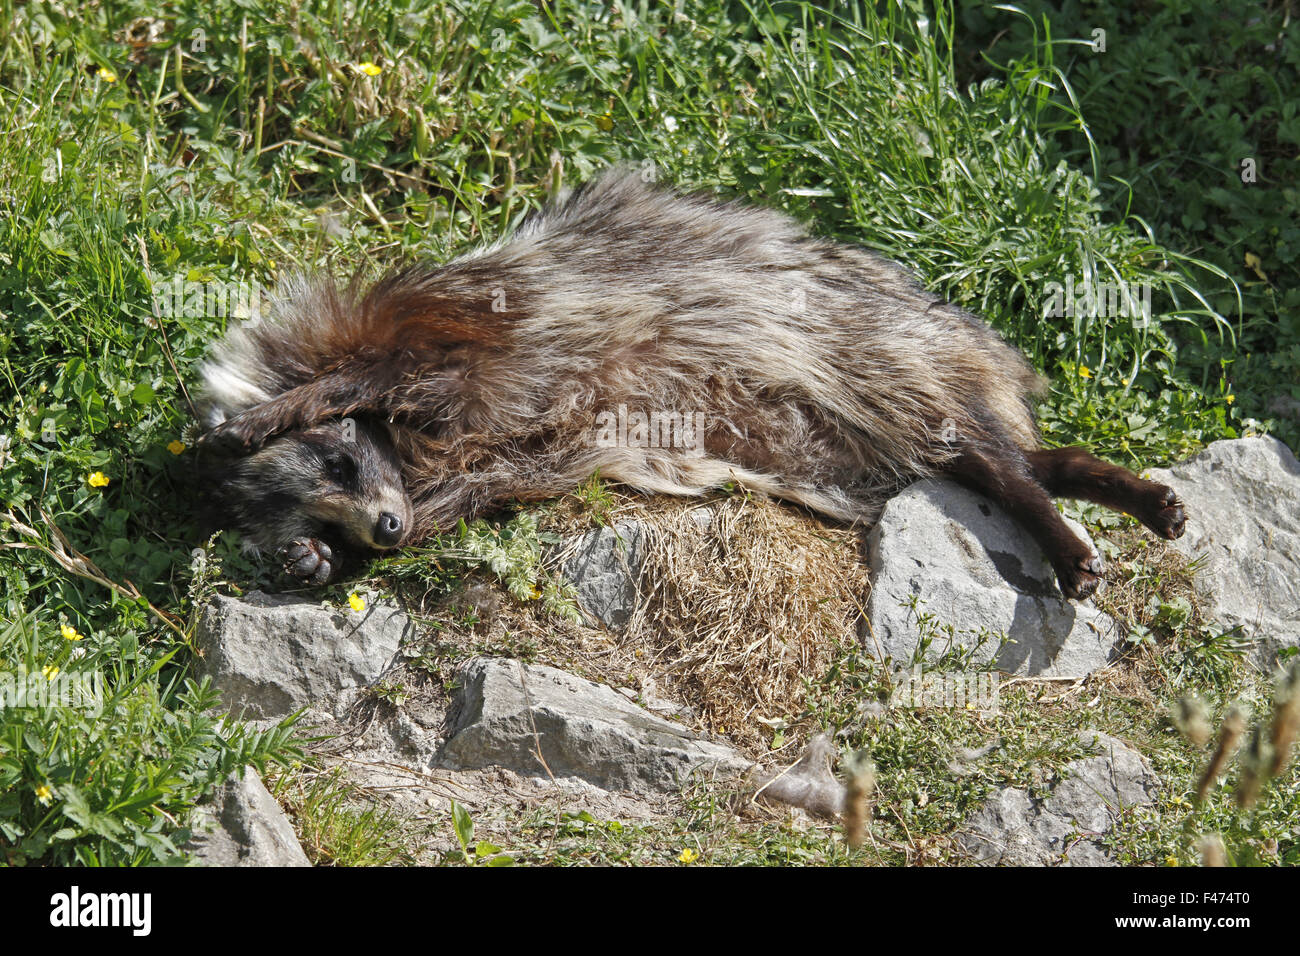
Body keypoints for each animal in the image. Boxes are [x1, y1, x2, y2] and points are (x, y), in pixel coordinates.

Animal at [196, 167, 1186, 595]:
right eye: (325, 506)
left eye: (340, 464)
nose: (384, 529)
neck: (411, 458)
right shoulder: (512, 457)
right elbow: (469, 497)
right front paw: (317, 558)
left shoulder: (482, 342)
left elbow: (390, 376)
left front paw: (291, 406)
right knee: (989, 458)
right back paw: (1092, 483)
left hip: (891, 352)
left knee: (987, 454)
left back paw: (1057, 523)